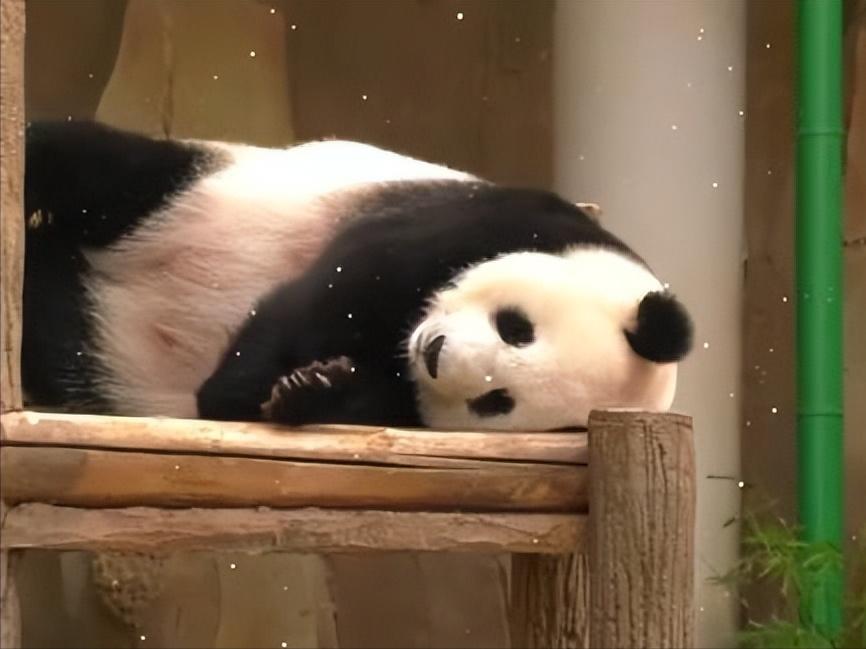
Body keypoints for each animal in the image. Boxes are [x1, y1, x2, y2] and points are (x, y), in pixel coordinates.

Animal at [23, 120, 693, 431]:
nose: (436, 351)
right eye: (516, 328)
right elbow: (340, 284)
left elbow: (378, 398)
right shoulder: (498, 221)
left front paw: (309, 388)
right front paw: (237, 390)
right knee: (97, 168)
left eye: (496, 400)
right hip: (190, 195)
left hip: (101, 345)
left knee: (54, 320)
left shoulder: (409, 398)